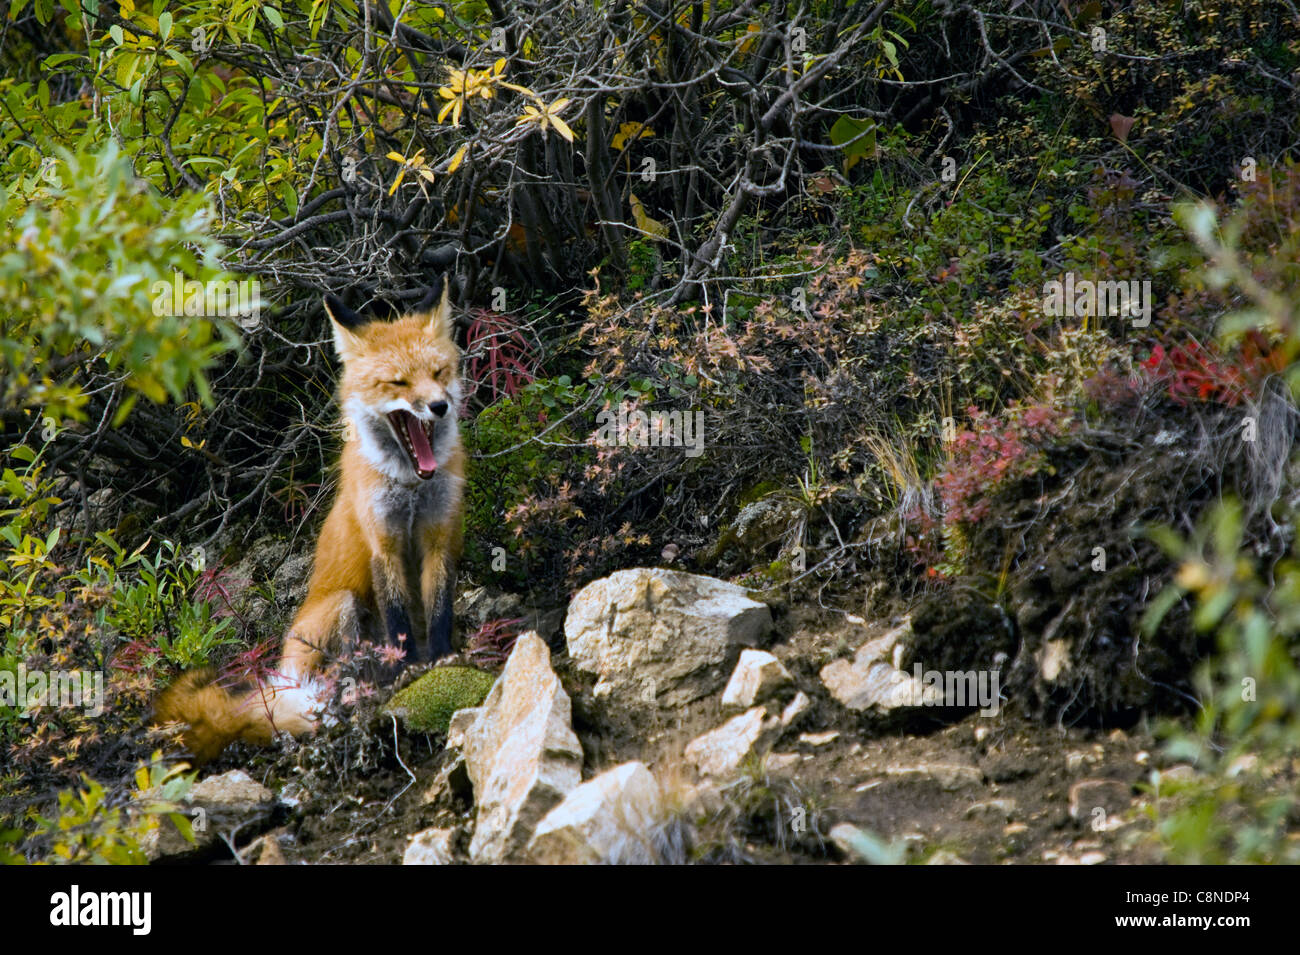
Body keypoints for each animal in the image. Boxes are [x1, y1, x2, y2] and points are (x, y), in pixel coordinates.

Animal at [155, 277, 466, 763]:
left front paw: (440, 660)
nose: (438, 406)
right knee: (324, 683)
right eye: (398, 382)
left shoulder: (439, 537)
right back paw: (349, 697)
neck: (410, 484)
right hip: (340, 606)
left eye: (439, 373)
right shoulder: (384, 543)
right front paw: (407, 670)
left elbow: (438, 611)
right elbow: (398, 619)